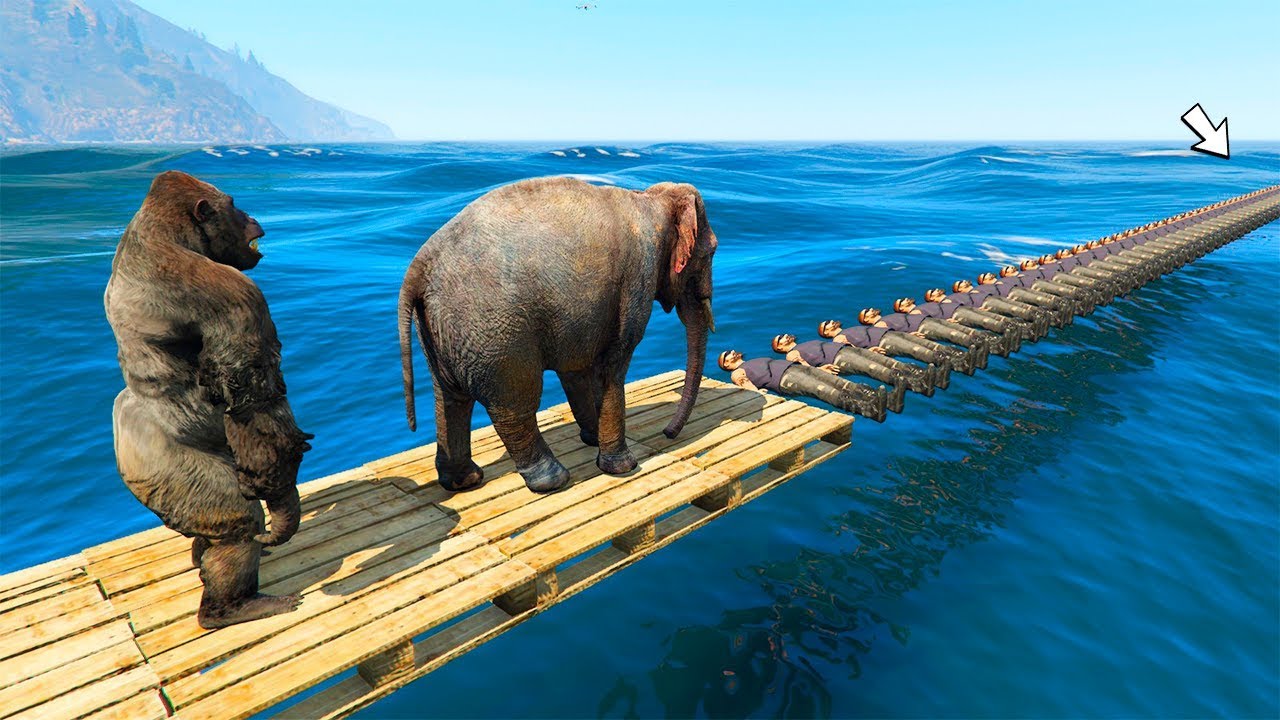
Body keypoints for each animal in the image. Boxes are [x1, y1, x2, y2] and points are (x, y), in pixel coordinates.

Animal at [105, 171, 313, 629]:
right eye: (233, 205)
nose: (252, 216)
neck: (163, 231)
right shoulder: (232, 292)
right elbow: (256, 402)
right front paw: (283, 502)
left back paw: (203, 556)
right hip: (166, 469)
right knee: (238, 521)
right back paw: (230, 608)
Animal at [398, 177, 719, 494]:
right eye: (713, 251)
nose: (669, 433)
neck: (650, 198)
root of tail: (418, 268)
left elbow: (577, 370)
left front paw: (593, 438)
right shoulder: (636, 279)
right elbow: (612, 365)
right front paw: (623, 467)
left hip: (443, 329)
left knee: (450, 398)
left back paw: (465, 481)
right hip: (495, 332)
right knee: (514, 402)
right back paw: (552, 480)